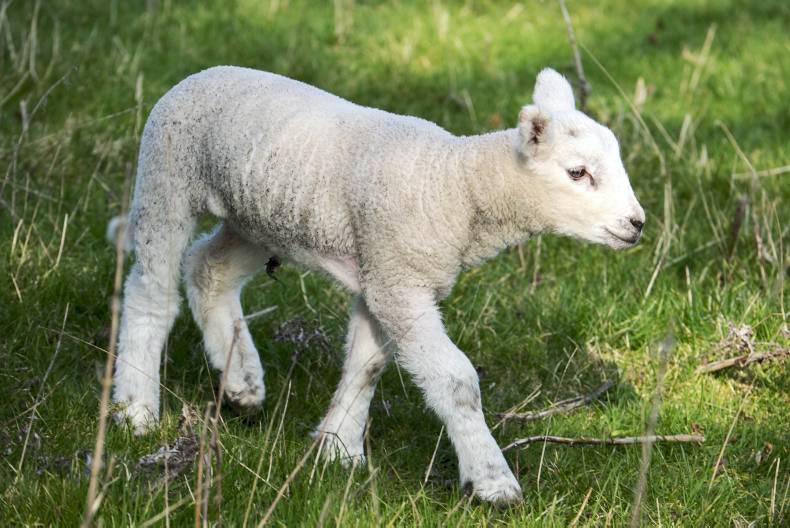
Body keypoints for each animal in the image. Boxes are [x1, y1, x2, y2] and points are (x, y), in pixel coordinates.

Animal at [110, 65, 645, 504]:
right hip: (168, 177)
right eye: (577, 172)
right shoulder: (398, 282)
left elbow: (366, 366)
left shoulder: (383, 275)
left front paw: (337, 451)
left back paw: (242, 383)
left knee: (209, 270)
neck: (456, 186)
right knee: (151, 291)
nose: (636, 223)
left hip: (256, 218)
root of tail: (199, 74)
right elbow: (456, 380)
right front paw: (493, 482)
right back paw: (136, 410)